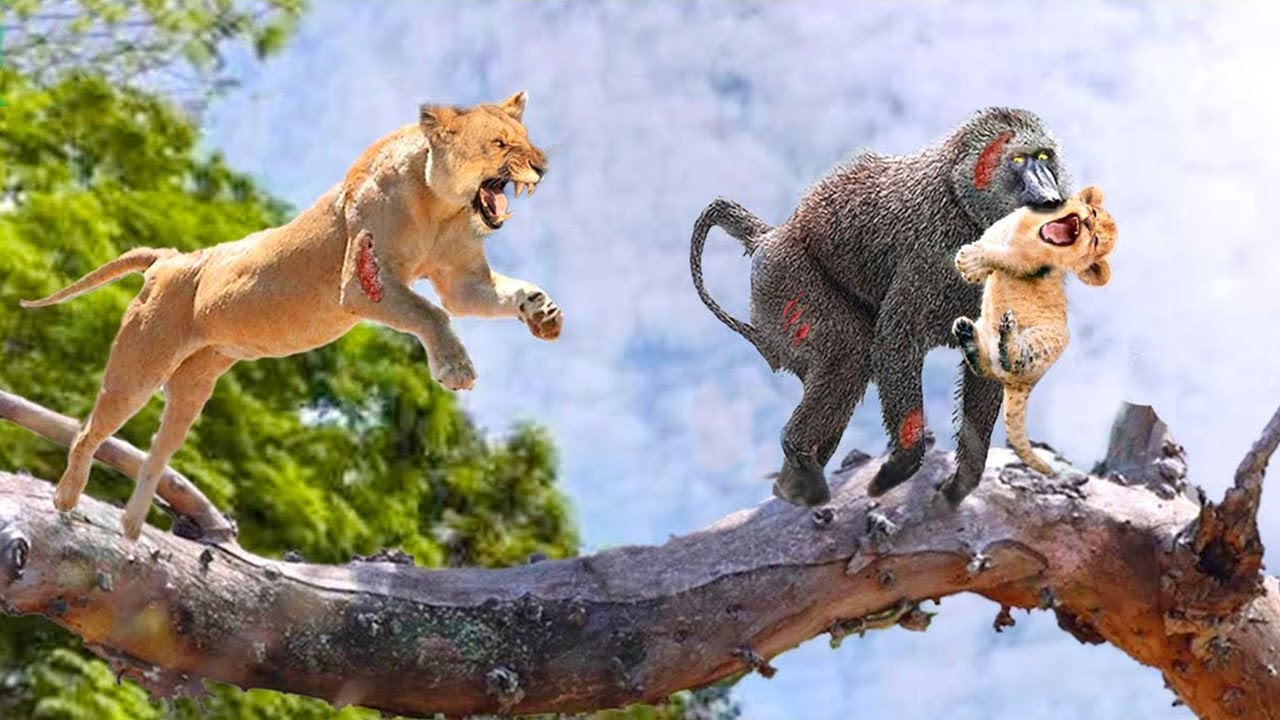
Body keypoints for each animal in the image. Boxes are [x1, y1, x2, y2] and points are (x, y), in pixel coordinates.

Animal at [21, 91, 562, 540]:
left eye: (528, 140)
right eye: (499, 143)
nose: (542, 166)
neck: (441, 205)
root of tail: (170, 257)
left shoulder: (461, 281)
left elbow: (492, 295)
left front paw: (543, 312)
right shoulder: (363, 285)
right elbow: (431, 314)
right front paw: (455, 368)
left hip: (194, 385)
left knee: (158, 451)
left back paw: (133, 528)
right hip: (140, 366)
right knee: (88, 431)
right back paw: (67, 498)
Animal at [690, 107, 1070, 507]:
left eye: (1045, 157)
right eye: (1019, 160)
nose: (1050, 199)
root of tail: (773, 234)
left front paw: (962, 482)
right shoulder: (933, 253)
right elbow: (895, 339)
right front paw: (902, 465)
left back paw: (790, 484)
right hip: (784, 274)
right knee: (849, 352)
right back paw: (801, 460)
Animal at [950, 185, 1117, 474]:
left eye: (1095, 241)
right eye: (1094, 214)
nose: (1086, 223)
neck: (1033, 229)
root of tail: (1024, 384)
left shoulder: (1026, 262)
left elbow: (1003, 256)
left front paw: (969, 260)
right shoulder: (1002, 226)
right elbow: (990, 240)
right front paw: (972, 269)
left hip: (1045, 340)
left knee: (1012, 358)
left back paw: (1007, 333)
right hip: (985, 336)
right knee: (984, 367)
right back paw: (966, 334)